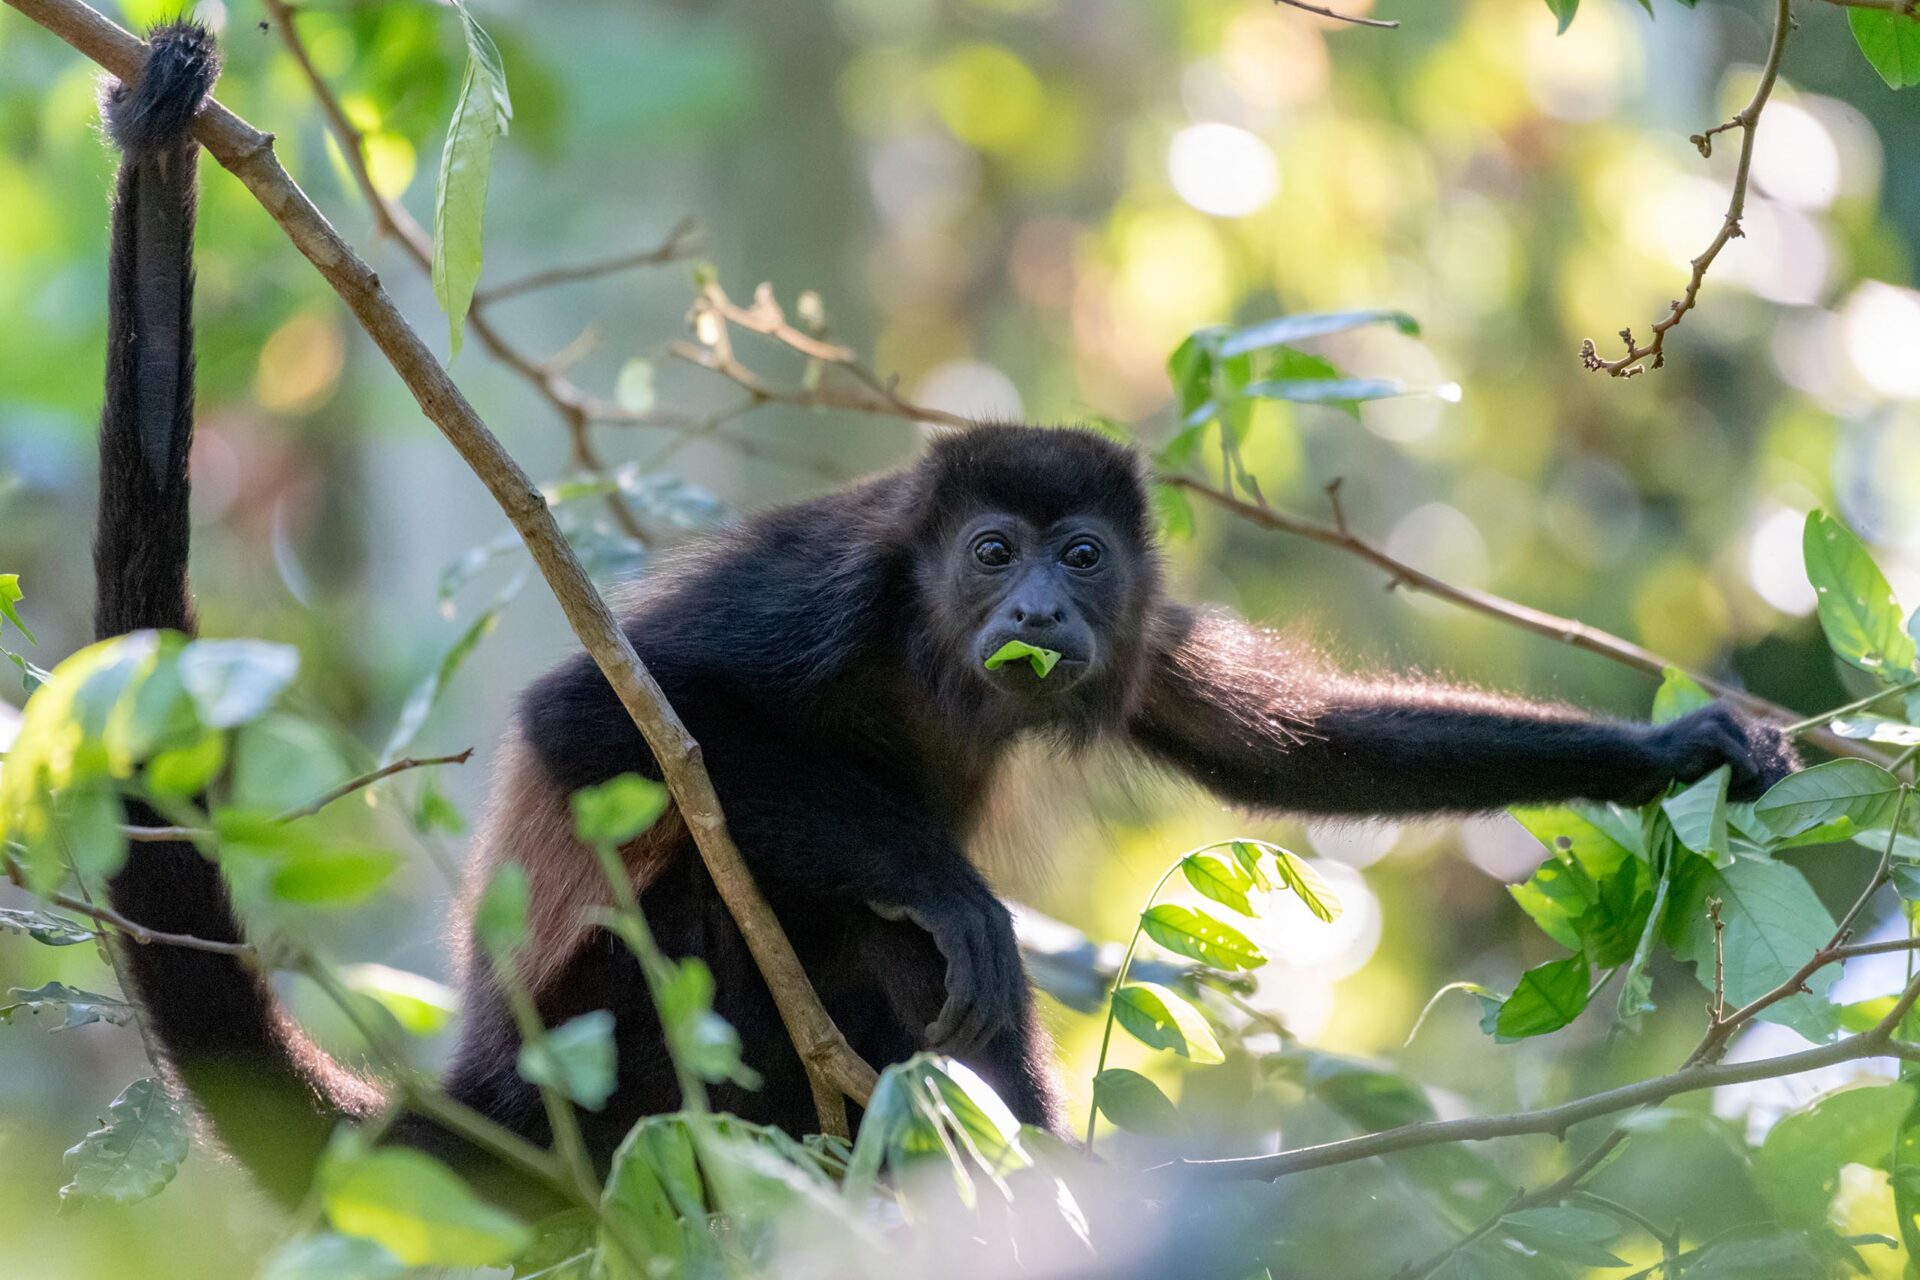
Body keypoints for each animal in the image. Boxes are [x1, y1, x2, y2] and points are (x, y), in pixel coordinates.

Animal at [88, 23, 1796, 1211]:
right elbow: (593, 715)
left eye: (1080, 558)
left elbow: (1294, 751)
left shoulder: (1142, 630)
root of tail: (495, 1094)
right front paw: (948, 886)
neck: (927, 653)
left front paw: (1679, 747)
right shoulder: (823, 587)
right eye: (988, 553)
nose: (1036, 599)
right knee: (749, 902)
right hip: (609, 1033)